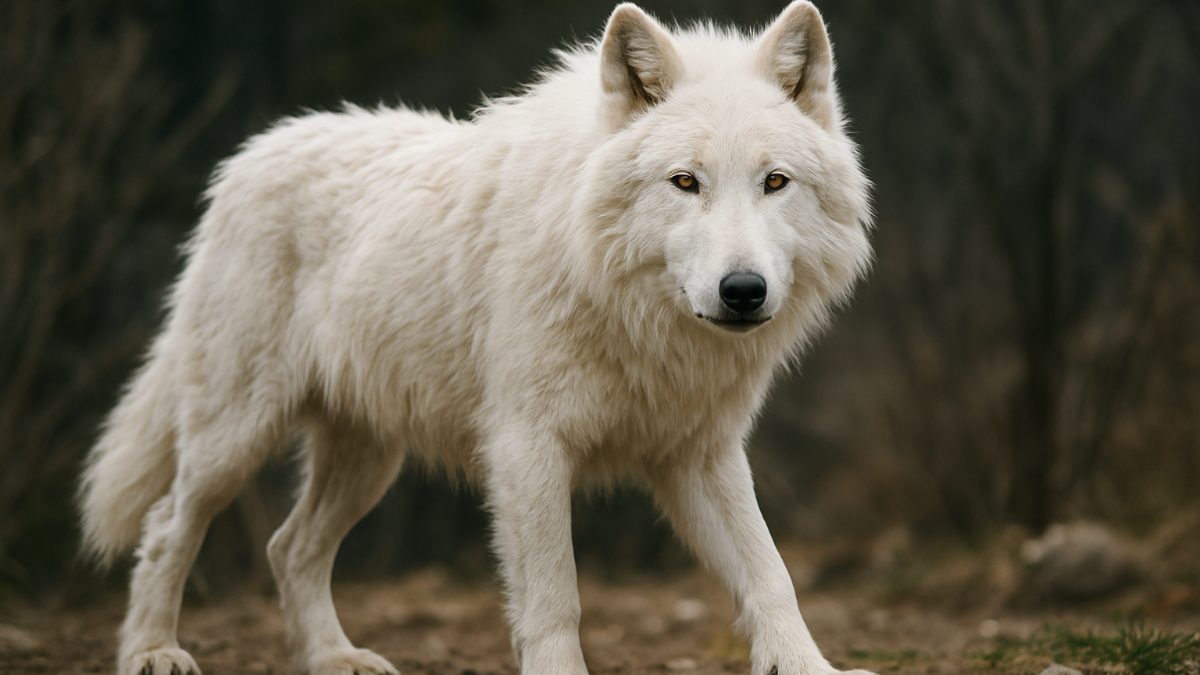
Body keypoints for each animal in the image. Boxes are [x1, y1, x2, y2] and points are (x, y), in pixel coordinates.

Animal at [79, 2, 874, 674]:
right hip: (235, 435)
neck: (631, 311)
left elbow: (772, 575)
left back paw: (335, 658)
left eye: (775, 182)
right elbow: (555, 599)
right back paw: (152, 650)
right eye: (686, 182)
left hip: (368, 459)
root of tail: (248, 157)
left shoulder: (702, 453)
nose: (743, 290)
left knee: (288, 548)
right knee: (166, 527)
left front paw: (810, 667)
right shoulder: (527, 448)